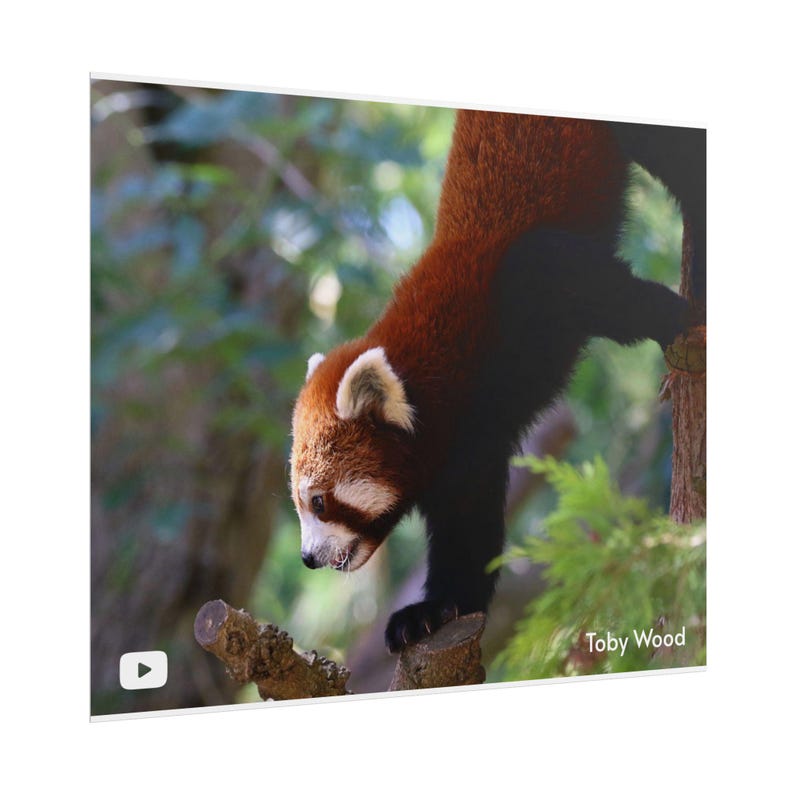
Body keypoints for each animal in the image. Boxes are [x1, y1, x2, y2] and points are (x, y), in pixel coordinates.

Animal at [289, 110, 705, 652]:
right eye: (300, 504)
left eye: (319, 501)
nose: (307, 559)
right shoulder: (466, 453)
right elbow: (468, 526)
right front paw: (434, 611)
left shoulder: (520, 294)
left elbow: (557, 264)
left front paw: (675, 314)